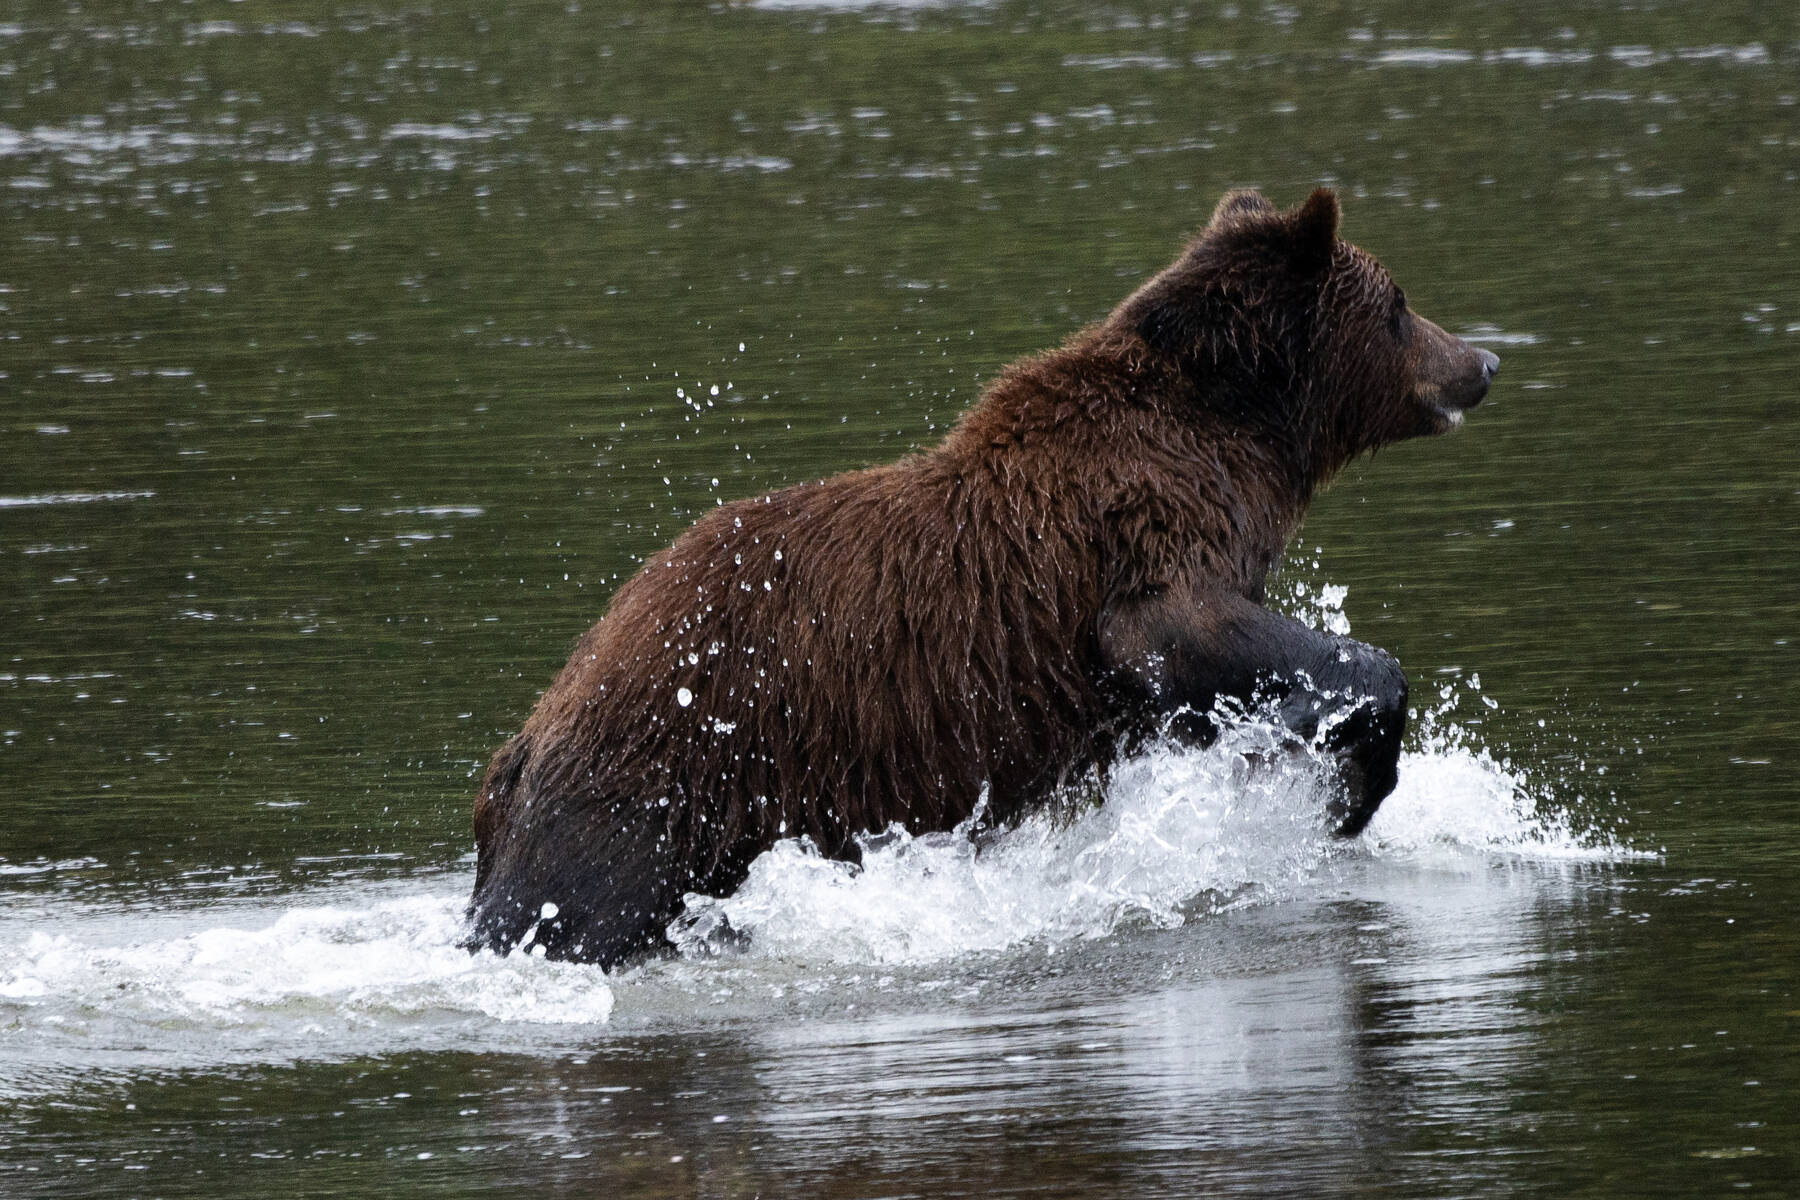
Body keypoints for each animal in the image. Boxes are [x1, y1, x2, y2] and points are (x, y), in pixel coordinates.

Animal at [464, 188, 1498, 967]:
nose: (1483, 359)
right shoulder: (1145, 535)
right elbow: (1178, 632)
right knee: (569, 910)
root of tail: (529, 732)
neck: (1238, 442)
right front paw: (1338, 771)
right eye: (1400, 304)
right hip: (659, 782)